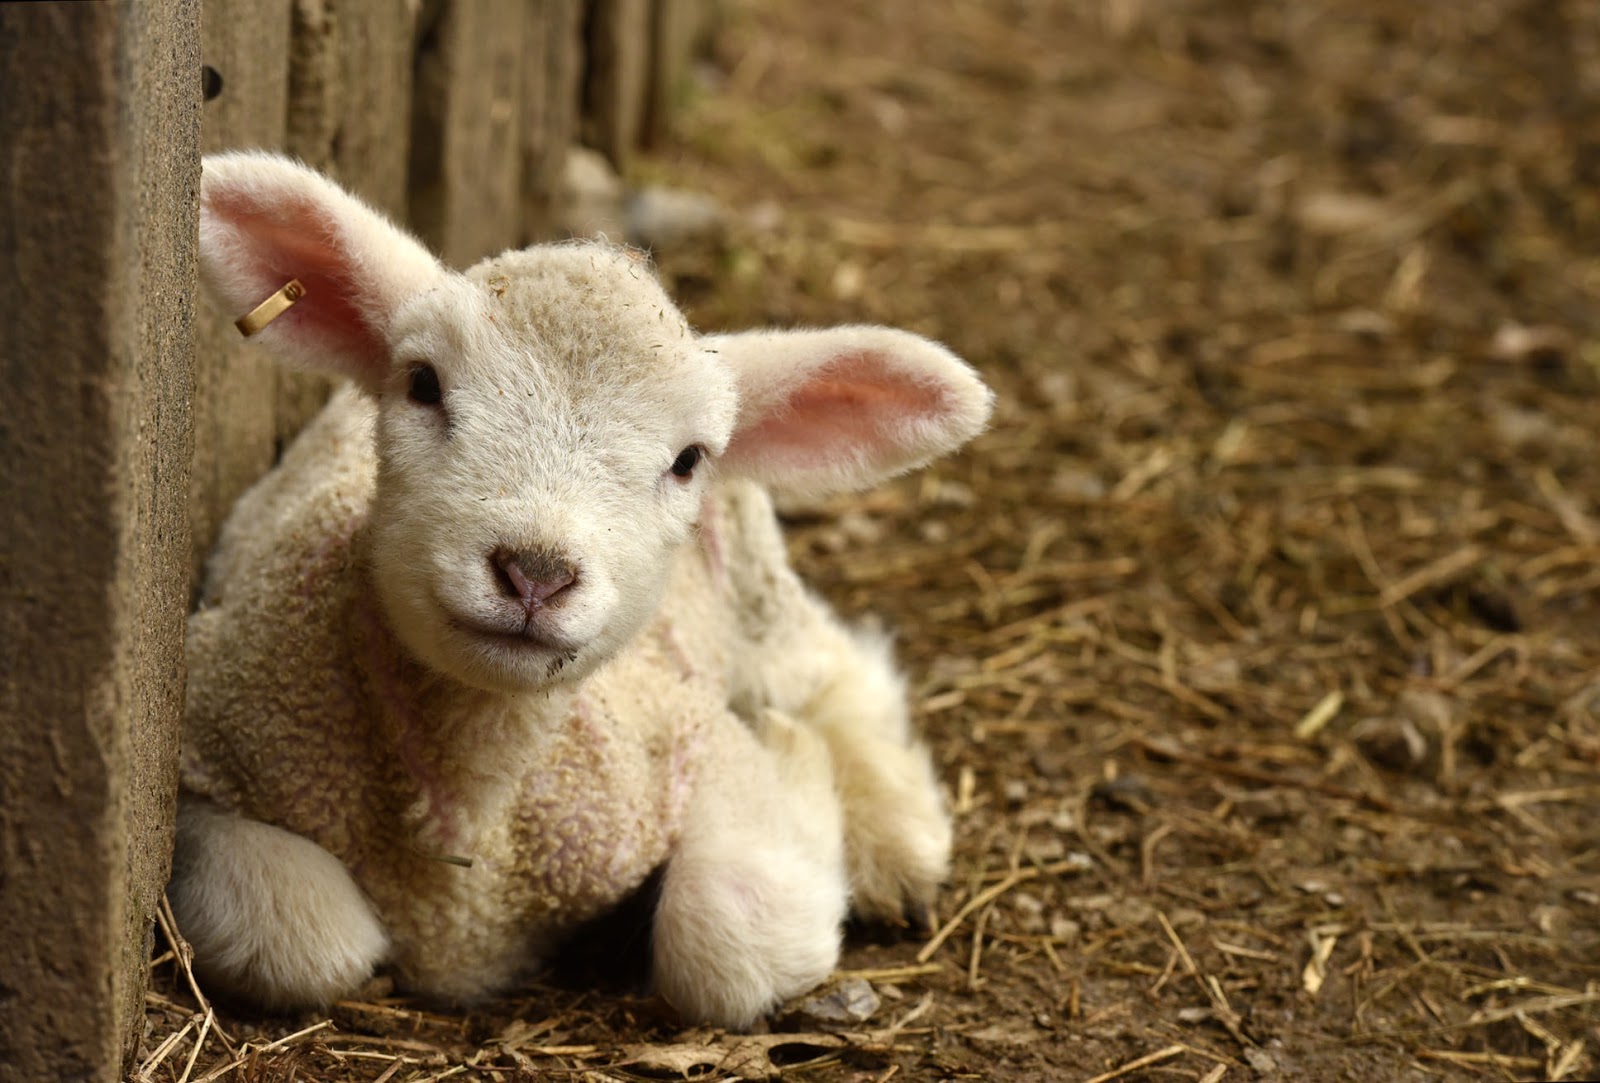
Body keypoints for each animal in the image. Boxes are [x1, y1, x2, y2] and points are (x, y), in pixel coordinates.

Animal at [170, 151, 994, 1029]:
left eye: (689, 459)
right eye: (423, 384)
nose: (536, 572)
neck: (474, 809)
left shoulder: (696, 740)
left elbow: (730, 942)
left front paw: (795, 759)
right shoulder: (212, 731)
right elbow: (303, 935)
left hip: (755, 593)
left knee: (836, 669)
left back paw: (891, 830)